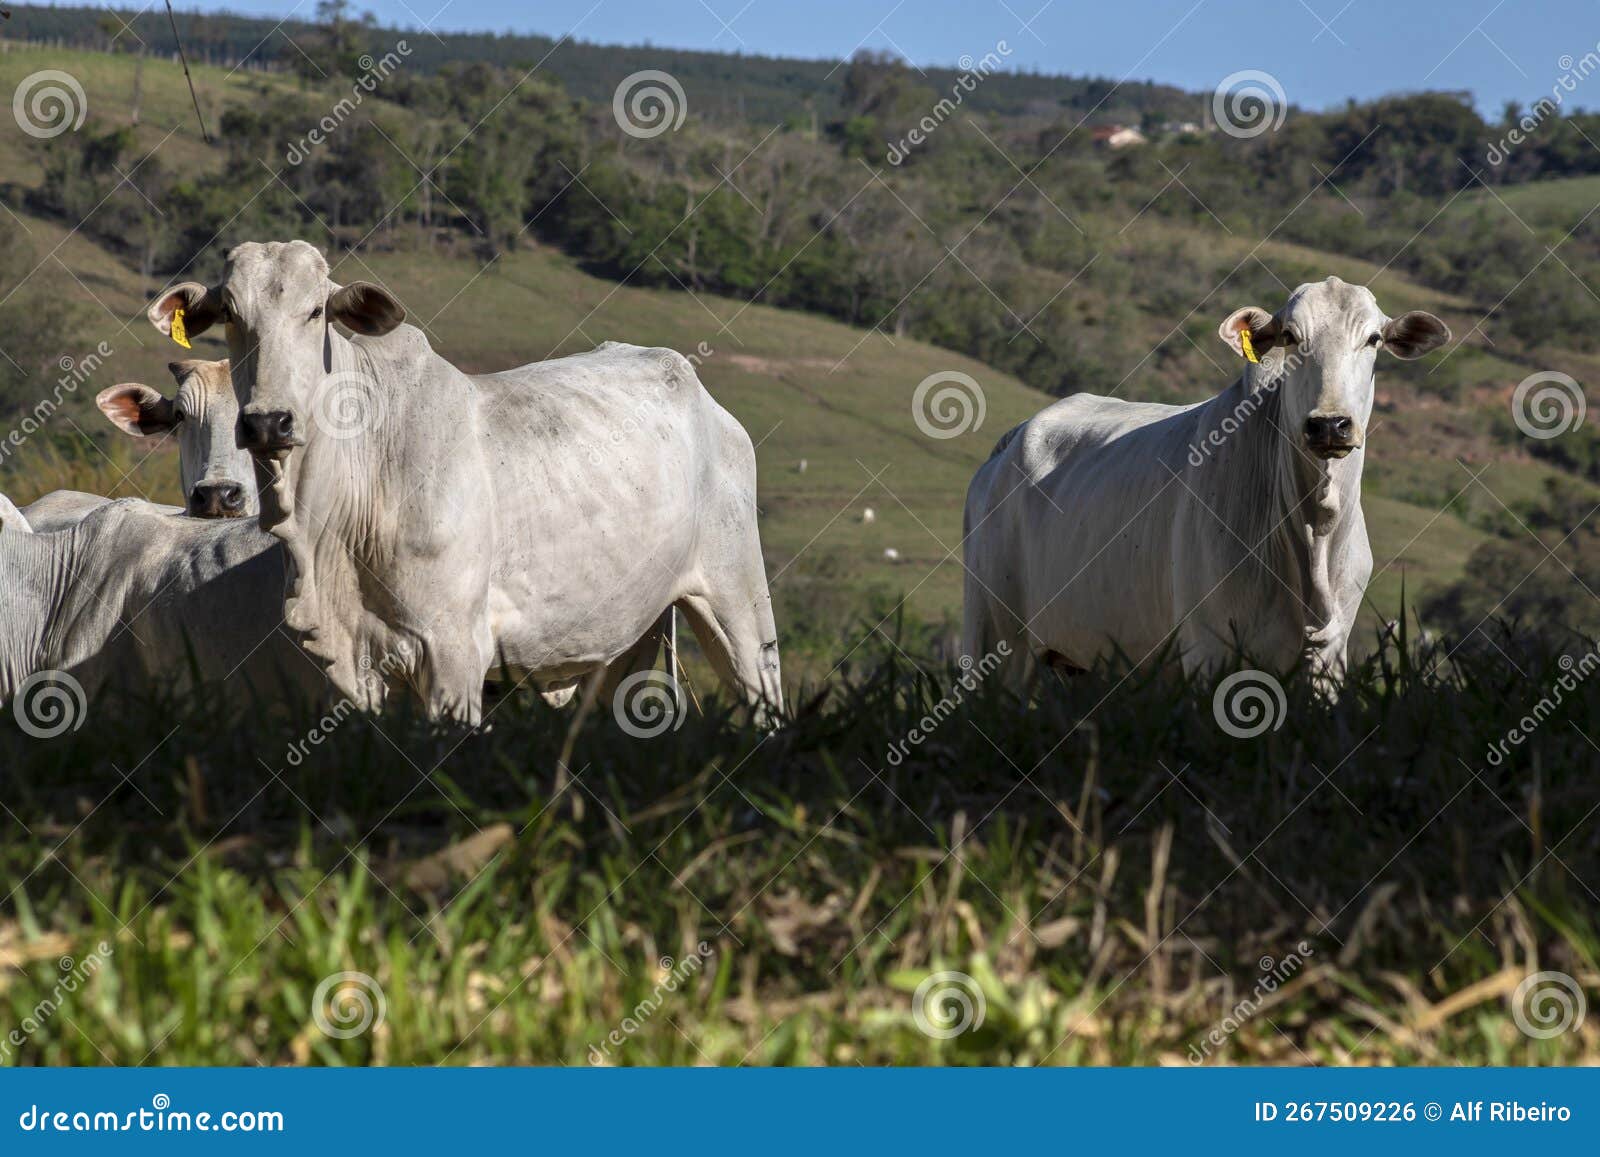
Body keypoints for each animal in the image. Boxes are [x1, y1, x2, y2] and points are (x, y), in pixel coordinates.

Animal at [145, 241, 783, 726]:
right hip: (634, 632)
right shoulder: (361, 669)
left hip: (741, 605)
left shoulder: (455, 653)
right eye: (230, 313)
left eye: (316, 312)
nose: (268, 422)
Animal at [962, 277, 1449, 689]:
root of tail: (1009, 442)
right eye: (1291, 337)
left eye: (1373, 339)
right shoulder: (1209, 650)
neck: (1313, 532)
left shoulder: (1329, 659)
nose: (1330, 424)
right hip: (996, 644)